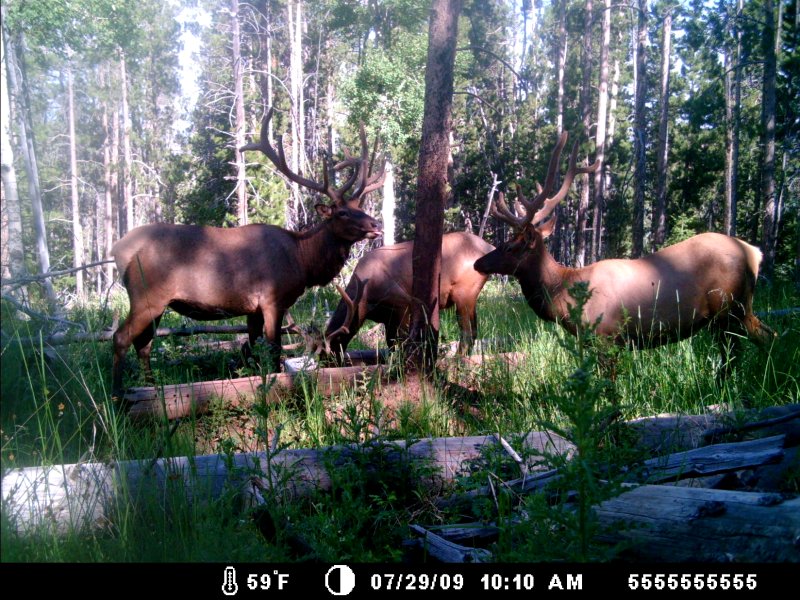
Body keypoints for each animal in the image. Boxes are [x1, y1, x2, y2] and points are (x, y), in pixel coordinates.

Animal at [111, 108, 384, 398]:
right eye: (342, 212)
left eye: (360, 206)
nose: (376, 224)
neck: (303, 260)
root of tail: (118, 250)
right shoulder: (273, 300)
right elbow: (273, 349)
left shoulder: (252, 308)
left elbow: (252, 349)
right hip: (146, 297)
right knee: (121, 337)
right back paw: (117, 395)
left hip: (156, 303)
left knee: (144, 343)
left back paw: (151, 388)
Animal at [322, 232, 496, 360]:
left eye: (330, 350)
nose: (328, 365)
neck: (365, 301)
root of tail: (488, 247)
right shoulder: (387, 318)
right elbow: (391, 343)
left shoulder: (403, 303)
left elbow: (401, 340)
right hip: (470, 297)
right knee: (474, 330)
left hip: (463, 294)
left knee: (466, 332)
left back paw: (457, 359)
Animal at [474, 131, 775, 372]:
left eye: (510, 246)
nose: (478, 263)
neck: (565, 293)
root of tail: (753, 252)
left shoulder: (607, 337)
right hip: (736, 310)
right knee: (763, 338)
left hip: (729, 308)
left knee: (748, 345)